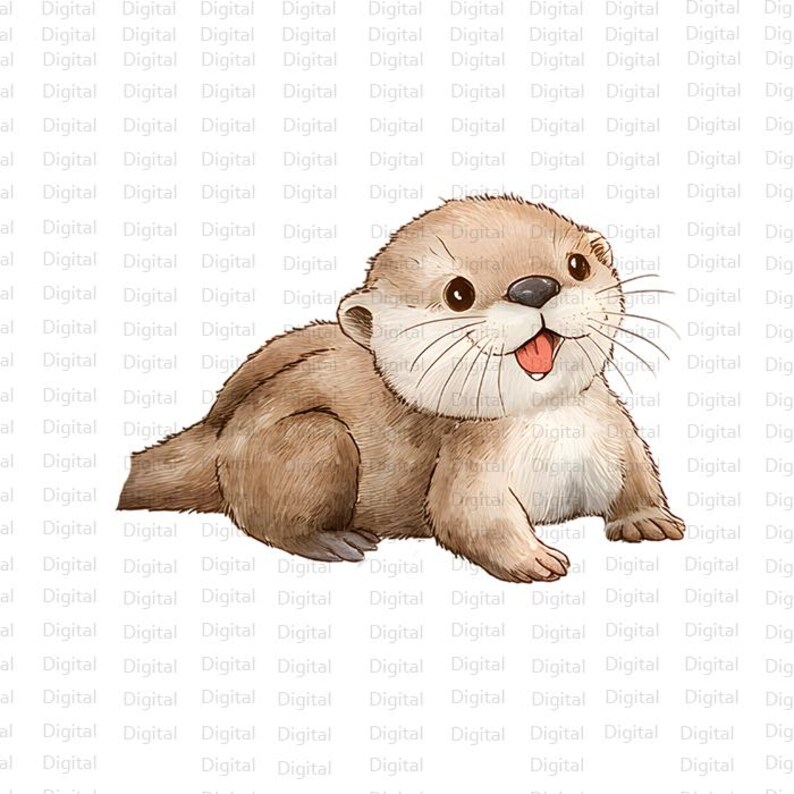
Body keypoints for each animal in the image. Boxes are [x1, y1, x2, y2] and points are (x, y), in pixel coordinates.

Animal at [118, 195, 684, 583]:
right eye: (458, 293)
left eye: (576, 265)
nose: (533, 288)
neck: (554, 438)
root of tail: (217, 435)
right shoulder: (465, 470)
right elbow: (472, 520)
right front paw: (535, 558)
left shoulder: (618, 438)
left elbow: (639, 481)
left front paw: (651, 521)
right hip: (310, 441)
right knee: (264, 521)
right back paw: (335, 540)